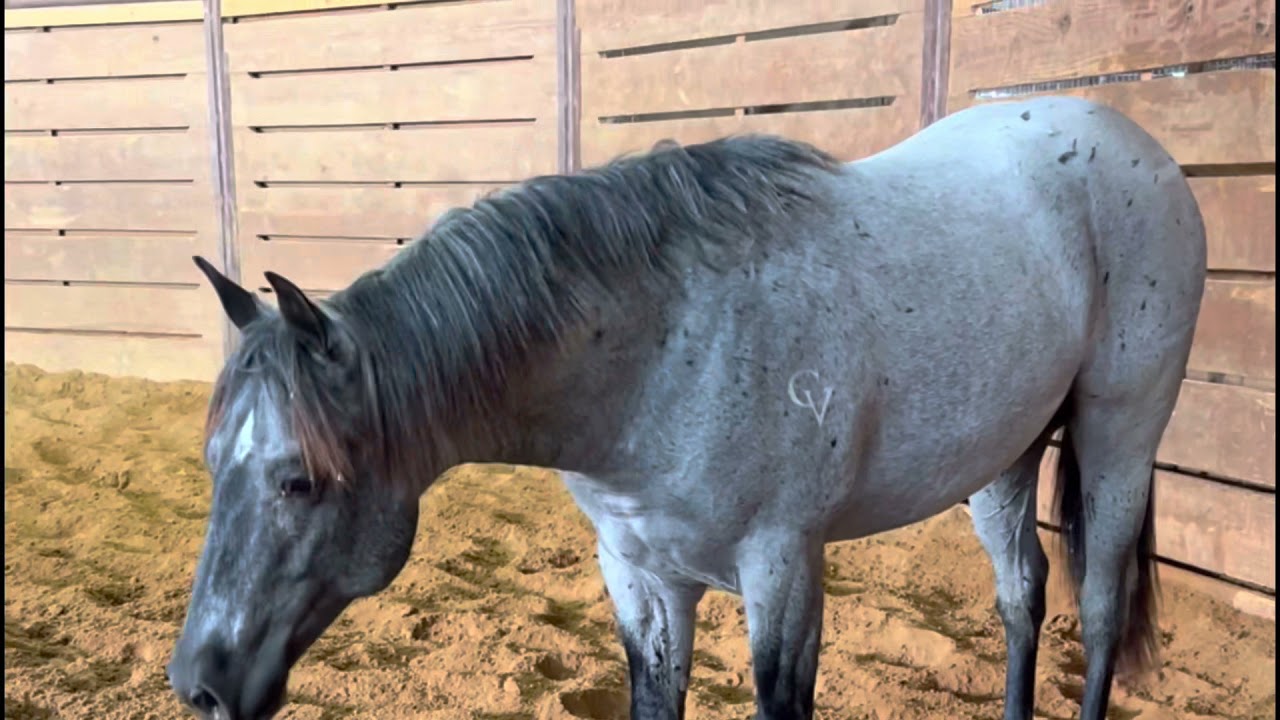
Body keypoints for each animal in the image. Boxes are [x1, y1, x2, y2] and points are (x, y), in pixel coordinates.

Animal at [167, 94, 1206, 720]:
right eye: (213, 466)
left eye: (298, 481)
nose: (196, 683)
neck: (664, 346)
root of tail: (1137, 145)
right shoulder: (642, 578)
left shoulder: (782, 569)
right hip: (1003, 460)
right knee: (1023, 594)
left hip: (1120, 435)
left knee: (1100, 607)